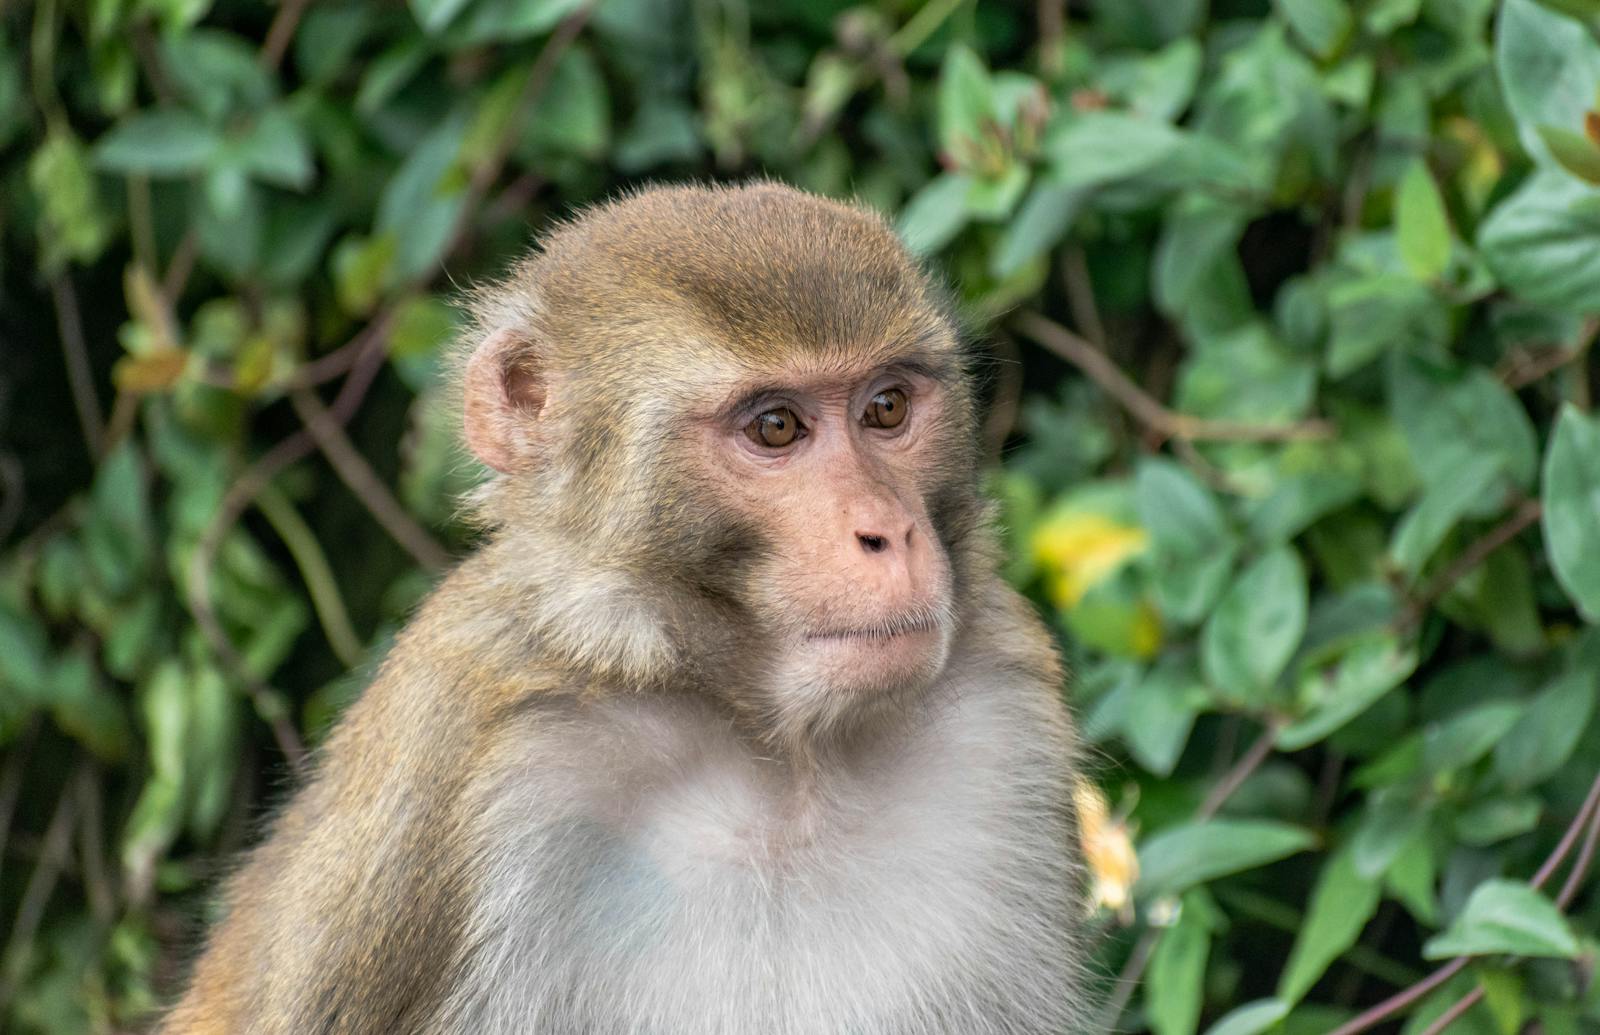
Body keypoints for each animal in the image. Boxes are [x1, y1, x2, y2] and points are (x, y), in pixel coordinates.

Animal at [160, 182, 1092, 1035]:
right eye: (777, 427)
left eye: (887, 407)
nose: (889, 532)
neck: (775, 751)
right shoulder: (452, 750)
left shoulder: (1003, 703)